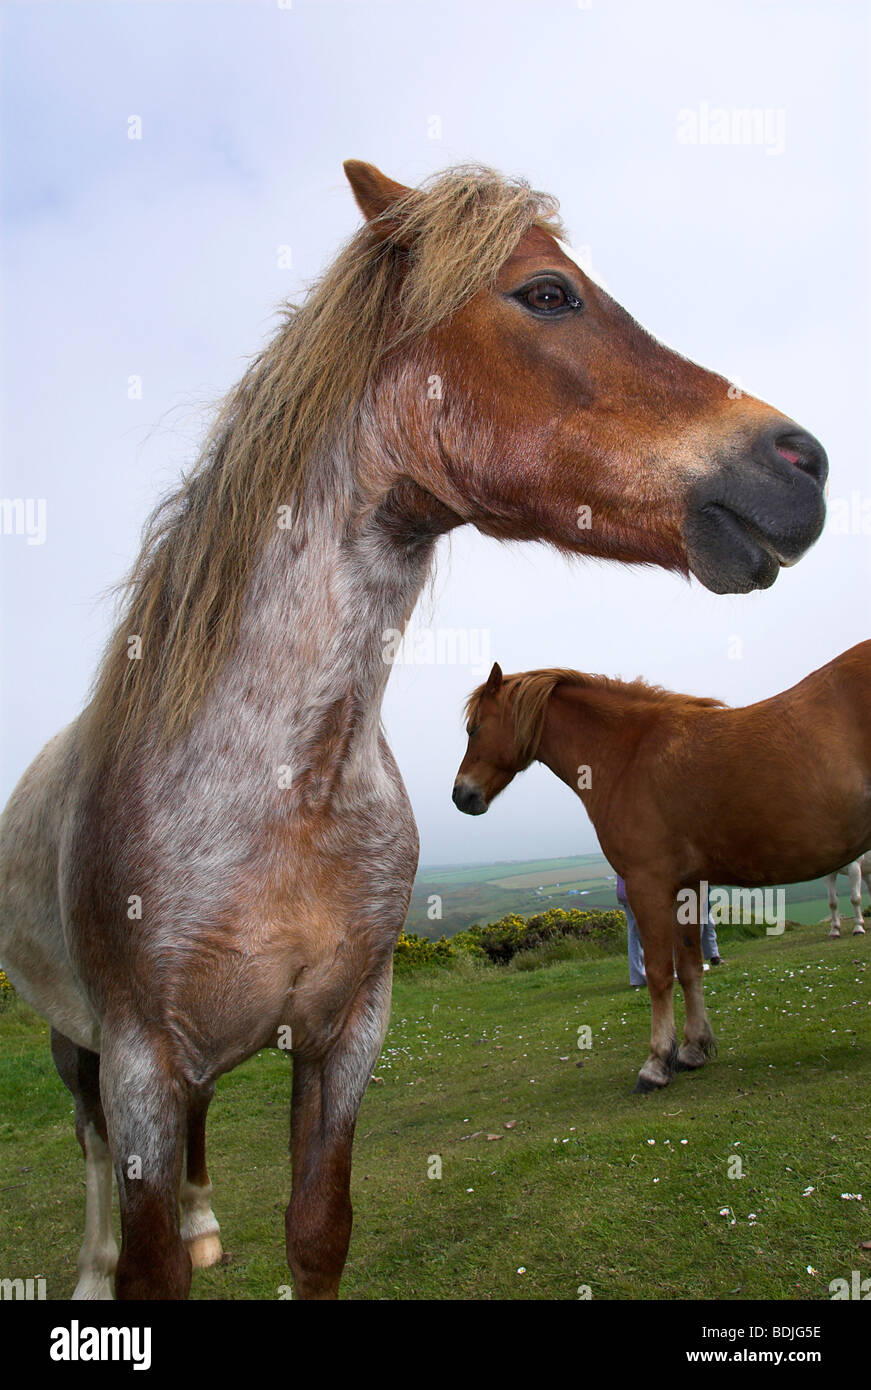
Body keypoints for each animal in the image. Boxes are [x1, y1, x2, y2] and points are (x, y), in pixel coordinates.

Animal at [0, 159, 828, 1300]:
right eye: (547, 294)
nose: (804, 462)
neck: (282, 788)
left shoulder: (345, 1033)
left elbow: (317, 1230)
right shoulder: (138, 1061)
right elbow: (149, 1263)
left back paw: (210, 1221)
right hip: (75, 1045)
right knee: (87, 1150)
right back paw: (90, 1268)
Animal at [453, 644, 871, 1093]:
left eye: (474, 729)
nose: (461, 795)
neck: (628, 754)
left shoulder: (647, 885)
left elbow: (658, 972)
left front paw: (656, 1062)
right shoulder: (688, 887)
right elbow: (688, 968)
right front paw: (693, 1048)